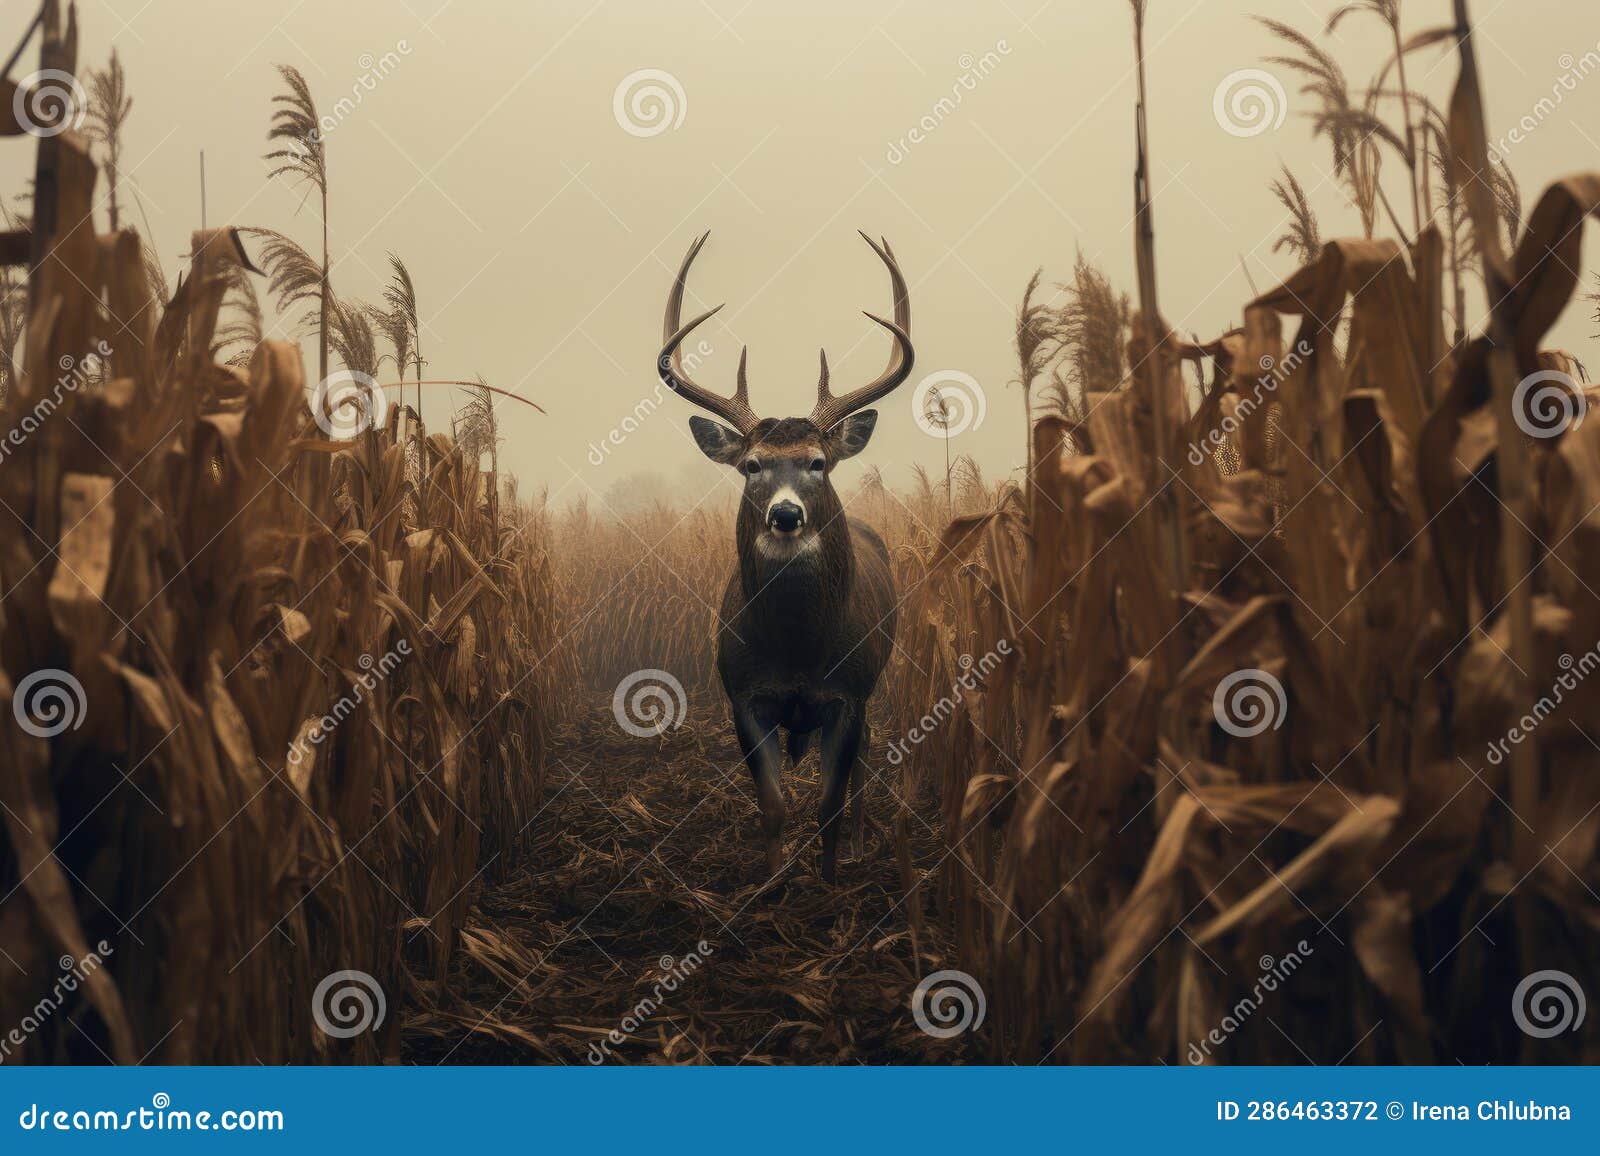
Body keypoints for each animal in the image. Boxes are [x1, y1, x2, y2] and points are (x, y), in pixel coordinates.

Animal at [656, 230, 914, 884]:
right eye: (751, 465)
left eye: (817, 462)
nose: (786, 515)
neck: (799, 649)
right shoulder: (743, 695)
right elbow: (772, 803)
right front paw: (770, 880)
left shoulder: (848, 693)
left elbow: (828, 801)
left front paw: (829, 878)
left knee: (867, 757)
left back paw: (862, 842)